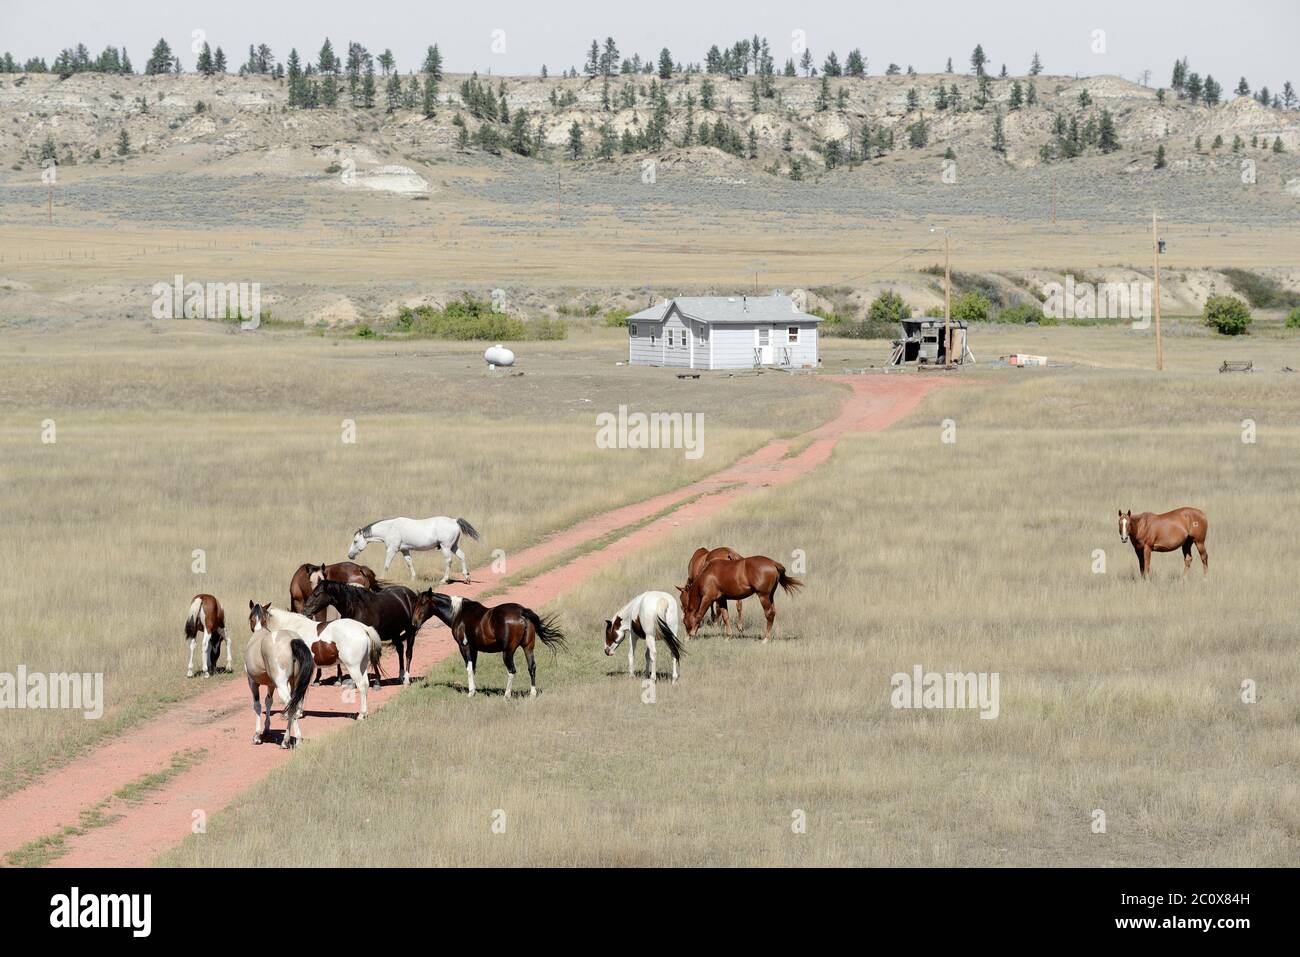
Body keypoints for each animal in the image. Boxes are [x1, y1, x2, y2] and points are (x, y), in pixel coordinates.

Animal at [244, 608, 314, 748]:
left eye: (250, 619)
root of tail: (292, 640)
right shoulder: (271, 685)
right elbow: (268, 702)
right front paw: (266, 729)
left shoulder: (252, 682)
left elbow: (257, 705)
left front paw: (257, 736)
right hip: (294, 684)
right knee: (294, 705)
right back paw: (287, 740)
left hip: (282, 686)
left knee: (290, 706)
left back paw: (294, 740)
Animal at [249, 603, 385, 719]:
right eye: (251, 618)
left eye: (263, 620)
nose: (257, 634)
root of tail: (363, 628)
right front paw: (299, 712)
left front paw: (293, 713)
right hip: (362, 666)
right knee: (366, 684)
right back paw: (365, 713)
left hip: (353, 667)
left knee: (361, 685)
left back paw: (361, 715)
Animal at [347, 515, 480, 583]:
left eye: (355, 541)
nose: (350, 555)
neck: (390, 528)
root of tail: (454, 521)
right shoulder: (404, 550)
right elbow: (409, 563)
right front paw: (413, 578)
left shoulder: (392, 550)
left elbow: (386, 565)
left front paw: (381, 579)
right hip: (453, 546)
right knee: (462, 556)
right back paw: (467, 578)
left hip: (446, 547)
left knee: (448, 561)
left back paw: (444, 579)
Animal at [411, 590, 567, 698]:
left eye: (423, 603)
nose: (414, 623)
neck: (459, 613)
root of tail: (522, 612)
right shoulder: (474, 649)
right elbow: (473, 668)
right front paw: (474, 690)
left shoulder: (465, 647)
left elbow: (469, 668)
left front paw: (471, 692)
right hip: (528, 647)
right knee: (532, 667)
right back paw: (532, 694)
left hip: (508, 652)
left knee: (512, 670)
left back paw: (507, 695)